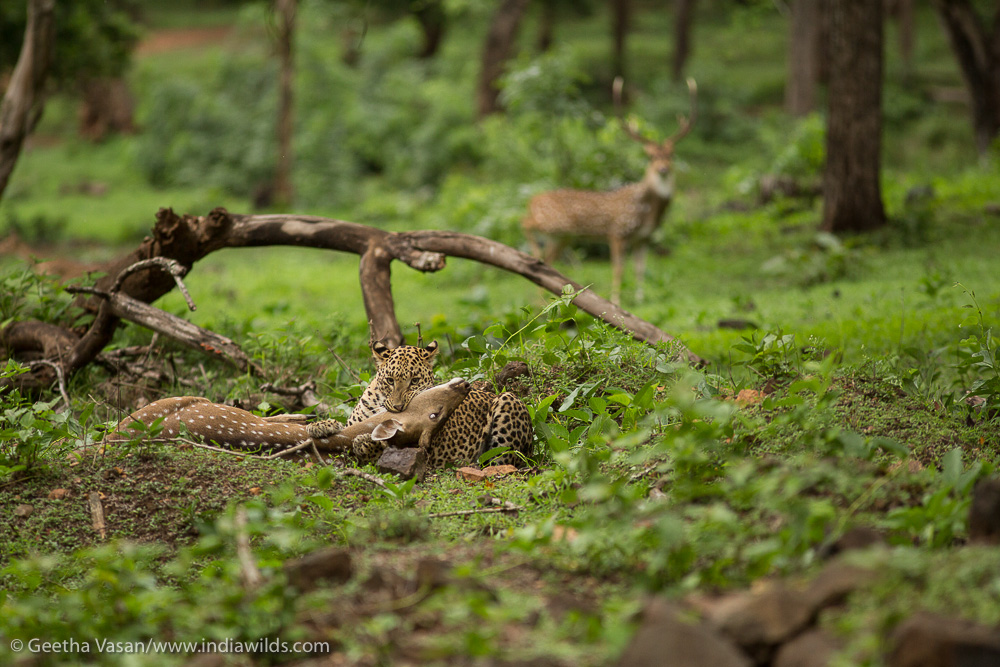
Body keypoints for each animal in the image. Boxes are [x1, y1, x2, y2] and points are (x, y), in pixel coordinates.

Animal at [522, 77, 697, 305]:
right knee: (524, 222)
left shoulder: (644, 238)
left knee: (549, 258)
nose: (663, 169)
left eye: (671, 155)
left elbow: (640, 268)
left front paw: (640, 299)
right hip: (554, 223)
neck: (649, 210)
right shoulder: (617, 231)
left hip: (562, 236)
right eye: (650, 156)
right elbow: (618, 269)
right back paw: (533, 257)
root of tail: (532, 200)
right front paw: (616, 300)